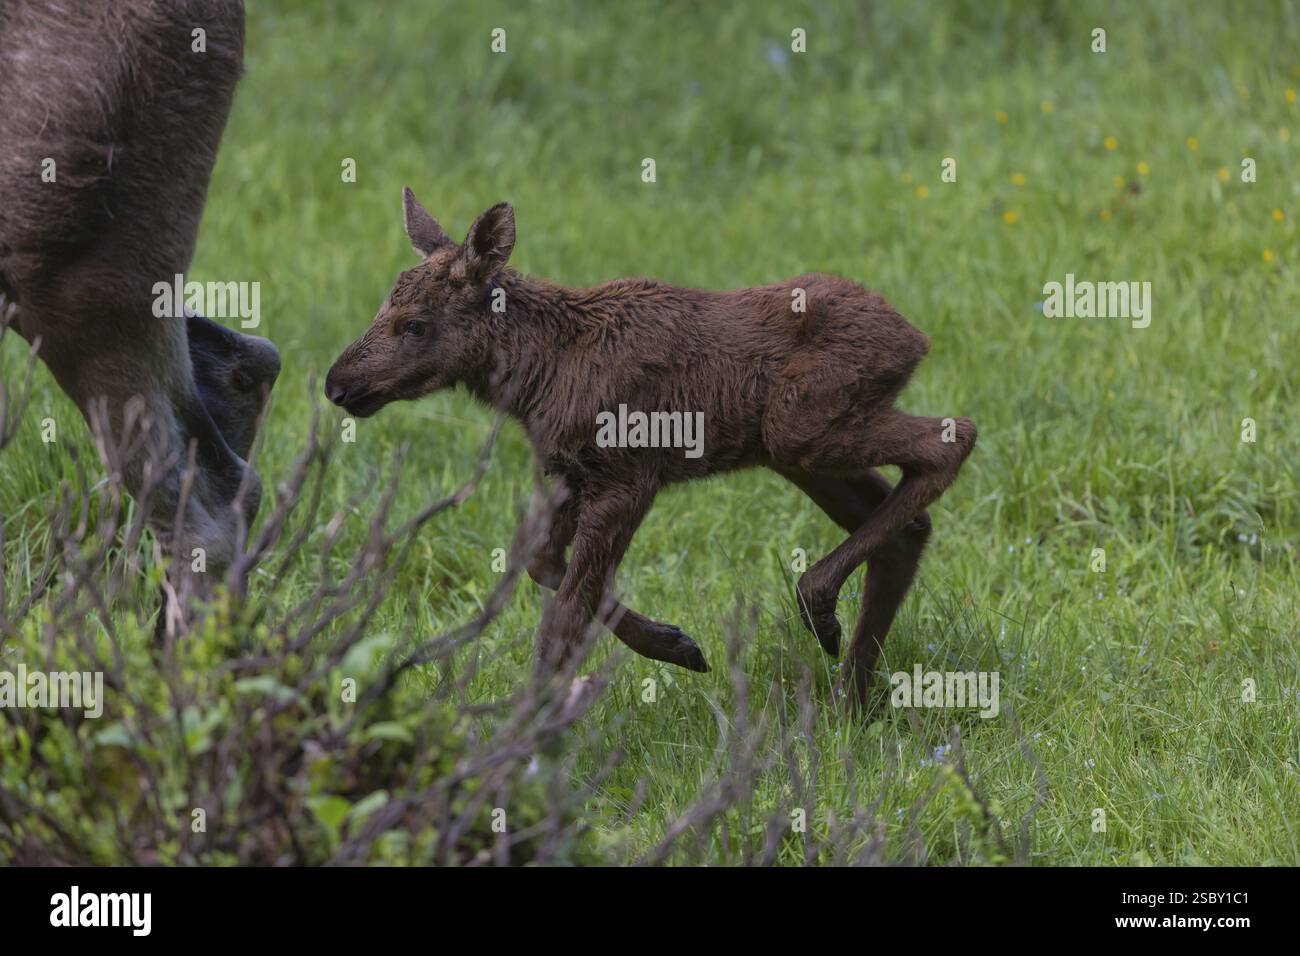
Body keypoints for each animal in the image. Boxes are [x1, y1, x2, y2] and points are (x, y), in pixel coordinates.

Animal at [326, 189, 976, 706]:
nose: (337, 383)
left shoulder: (627, 477)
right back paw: (848, 696)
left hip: (803, 427)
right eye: (383, 307)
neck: (535, 379)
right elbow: (542, 565)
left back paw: (819, 608)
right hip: (796, 452)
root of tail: (917, 338)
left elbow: (564, 617)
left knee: (956, 435)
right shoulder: (569, 474)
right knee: (909, 523)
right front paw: (678, 644)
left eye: (414, 324)